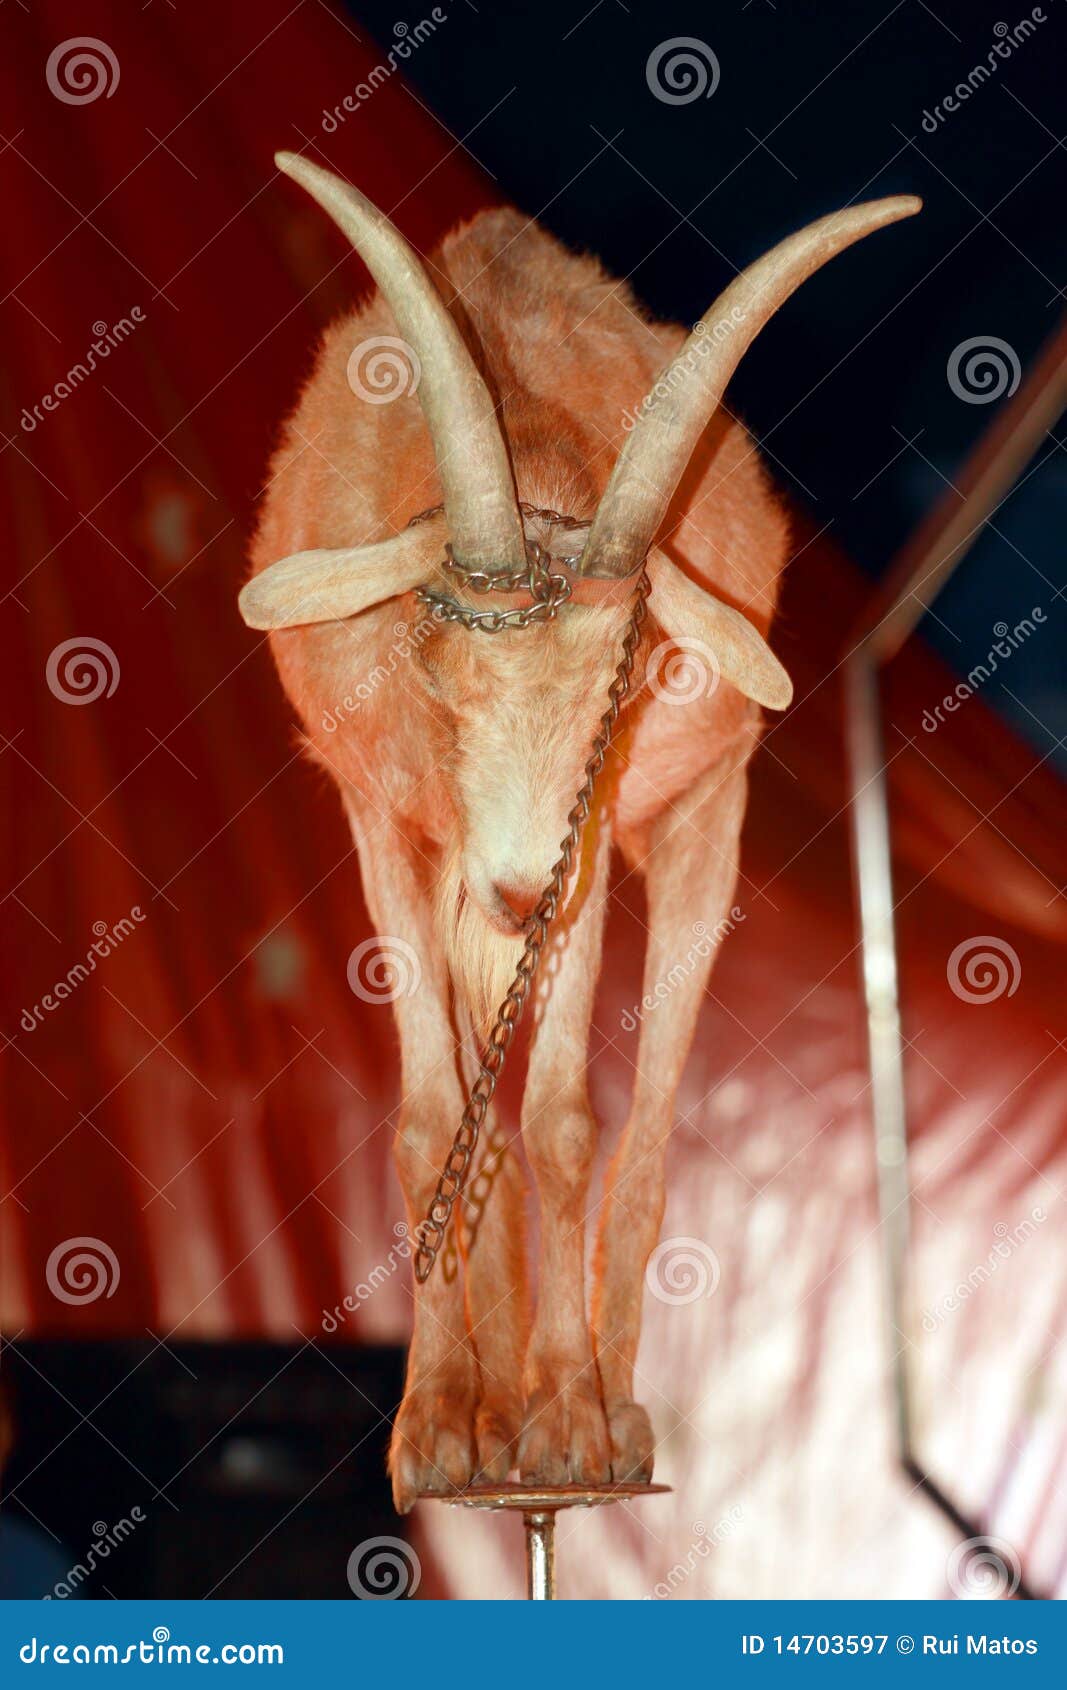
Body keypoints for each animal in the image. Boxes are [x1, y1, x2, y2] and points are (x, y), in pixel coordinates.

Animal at [241, 154, 919, 1513]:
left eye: (626, 666)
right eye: (432, 647)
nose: (515, 893)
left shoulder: (590, 842)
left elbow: (562, 1120)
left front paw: (564, 1420)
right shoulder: (382, 823)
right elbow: (430, 1124)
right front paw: (443, 1424)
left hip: (702, 825)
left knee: (646, 1126)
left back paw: (611, 1411)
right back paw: (492, 1403)